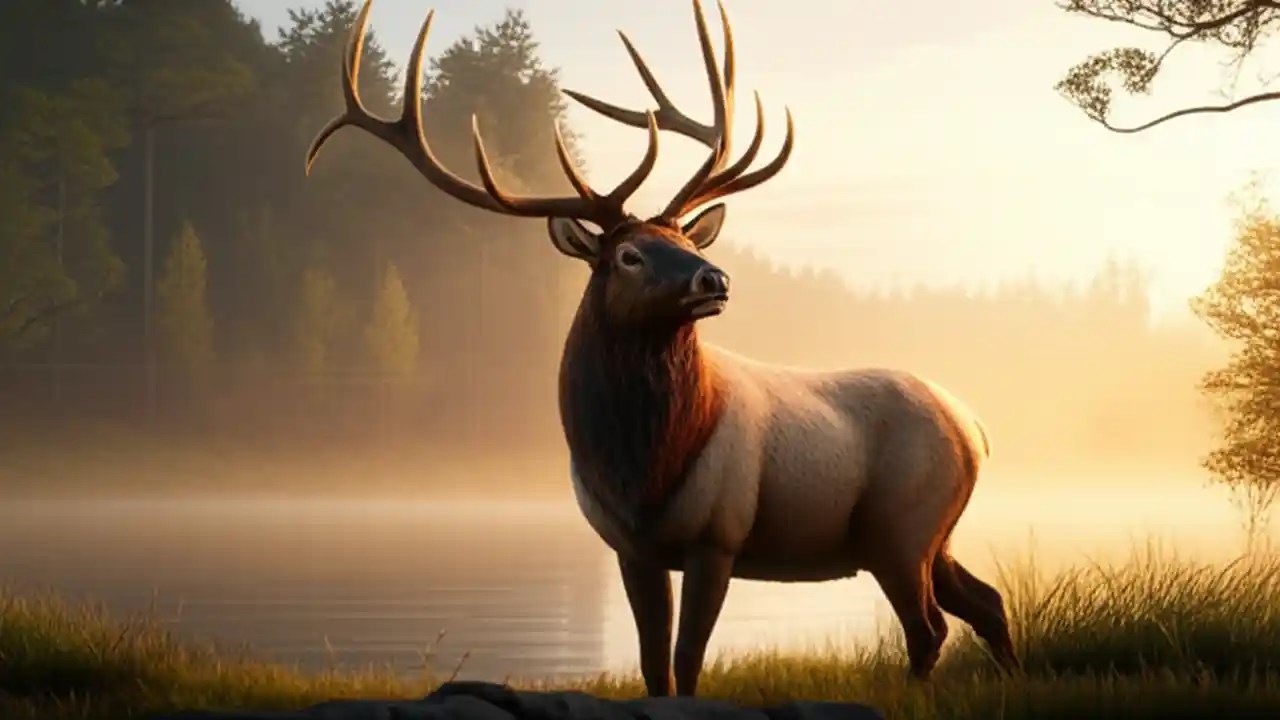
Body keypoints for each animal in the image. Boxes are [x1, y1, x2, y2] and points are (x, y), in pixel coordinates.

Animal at [306, 0, 1021, 697]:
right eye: (629, 254)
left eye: (687, 242)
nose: (715, 279)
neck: (640, 469)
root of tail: (978, 428)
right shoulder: (631, 546)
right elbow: (655, 667)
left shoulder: (718, 535)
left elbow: (688, 663)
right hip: (929, 533)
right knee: (983, 601)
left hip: (903, 525)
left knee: (929, 628)